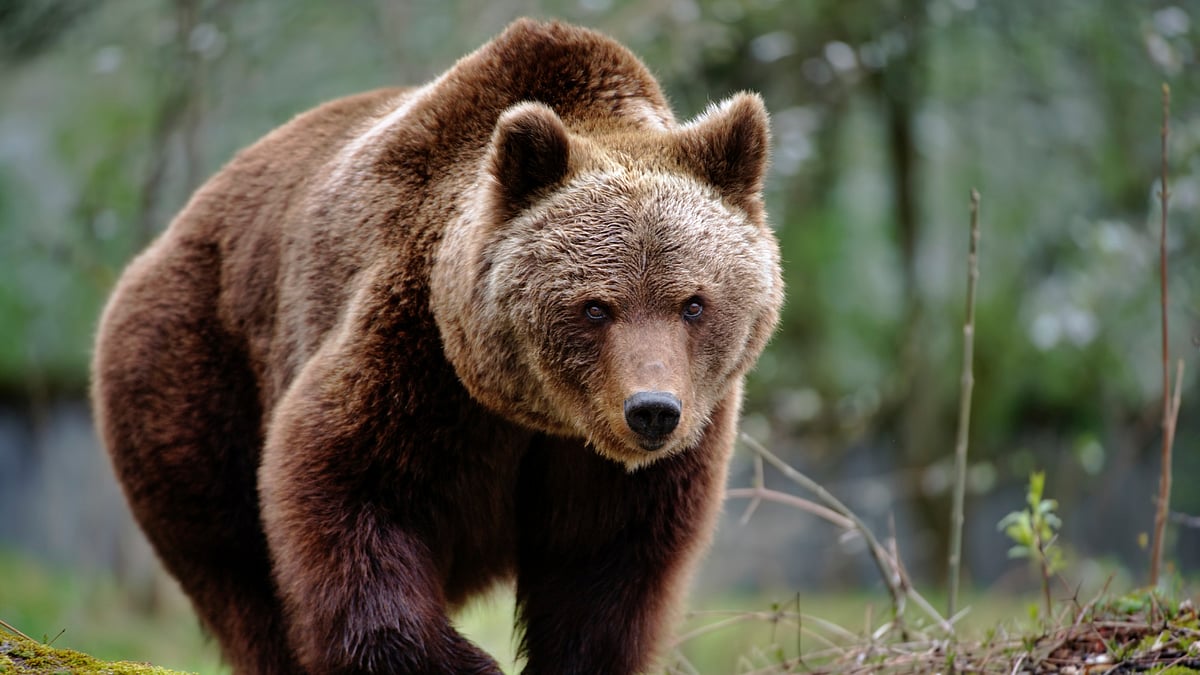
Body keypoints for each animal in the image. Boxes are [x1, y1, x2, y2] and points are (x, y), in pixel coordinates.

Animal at [92, 18, 783, 675]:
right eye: (595, 306)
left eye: (693, 303)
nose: (652, 410)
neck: (537, 414)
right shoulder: (415, 352)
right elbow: (348, 489)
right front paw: (465, 663)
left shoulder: (650, 451)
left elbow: (605, 568)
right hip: (194, 365)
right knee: (234, 562)